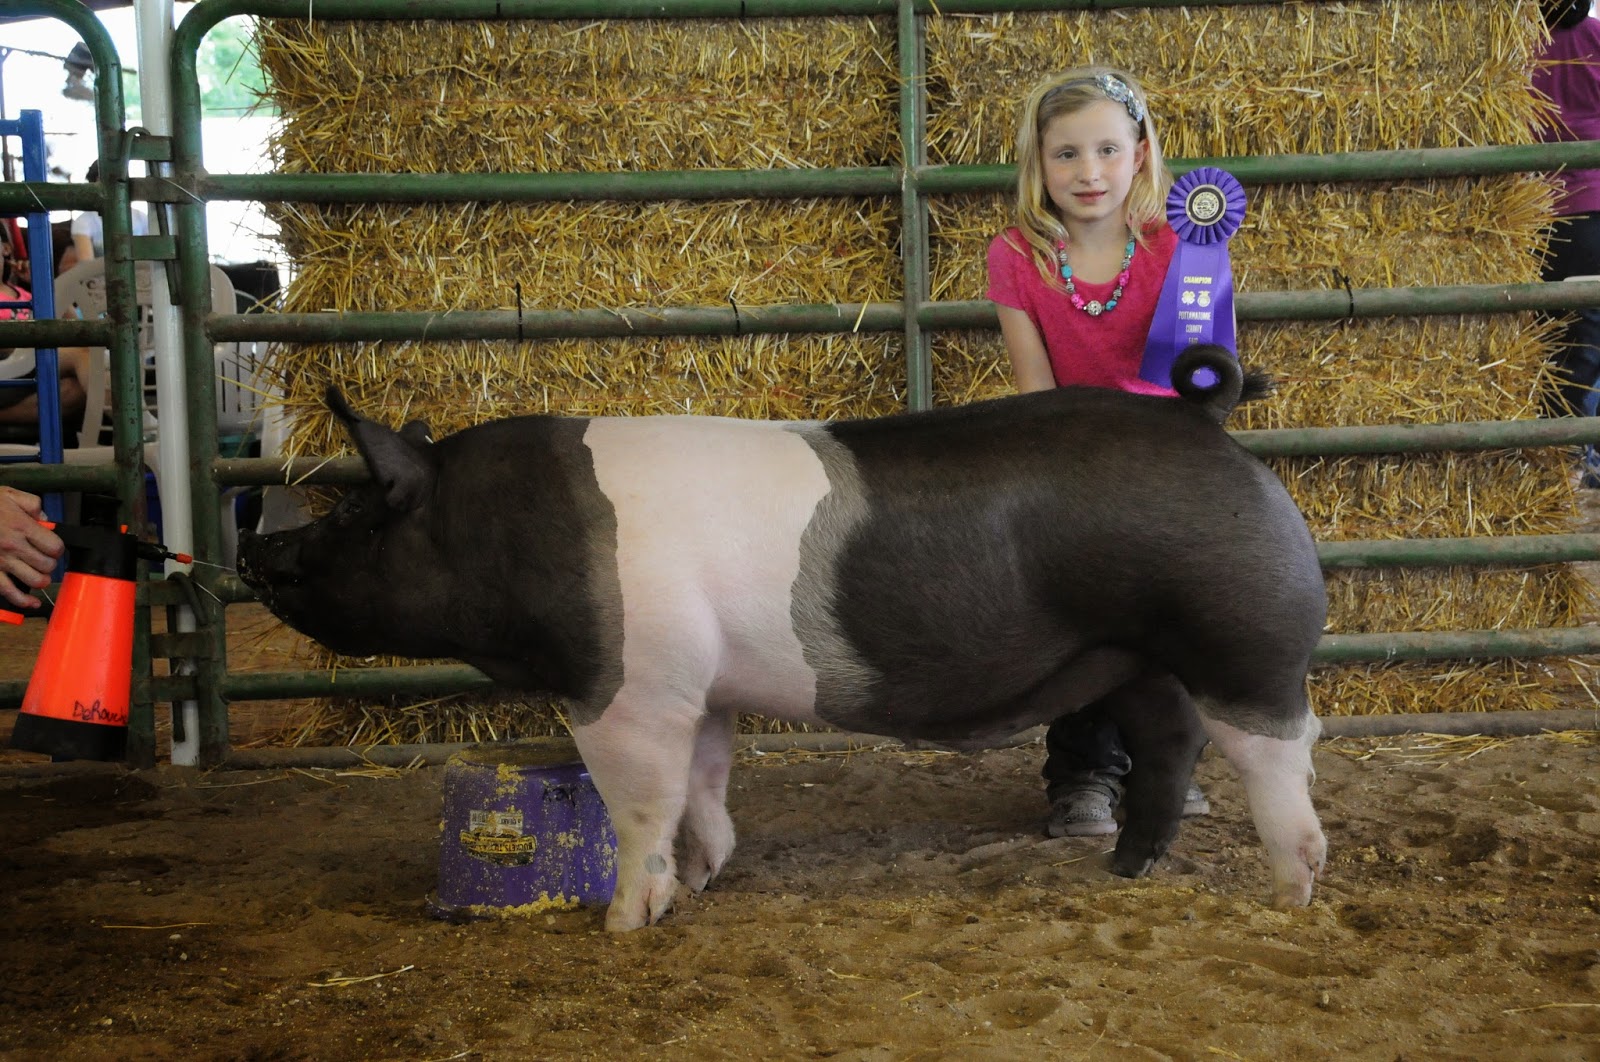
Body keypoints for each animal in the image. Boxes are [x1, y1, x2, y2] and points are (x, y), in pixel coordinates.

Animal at [237, 344, 1328, 932]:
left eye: (352, 515)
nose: (258, 551)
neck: (494, 530)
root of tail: (1205, 419)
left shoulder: (625, 689)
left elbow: (638, 807)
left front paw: (622, 922)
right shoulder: (699, 691)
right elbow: (704, 789)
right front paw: (704, 878)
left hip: (1239, 636)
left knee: (1276, 753)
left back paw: (1292, 891)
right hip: (1130, 659)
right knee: (1171, 745)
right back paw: (1123, 872)